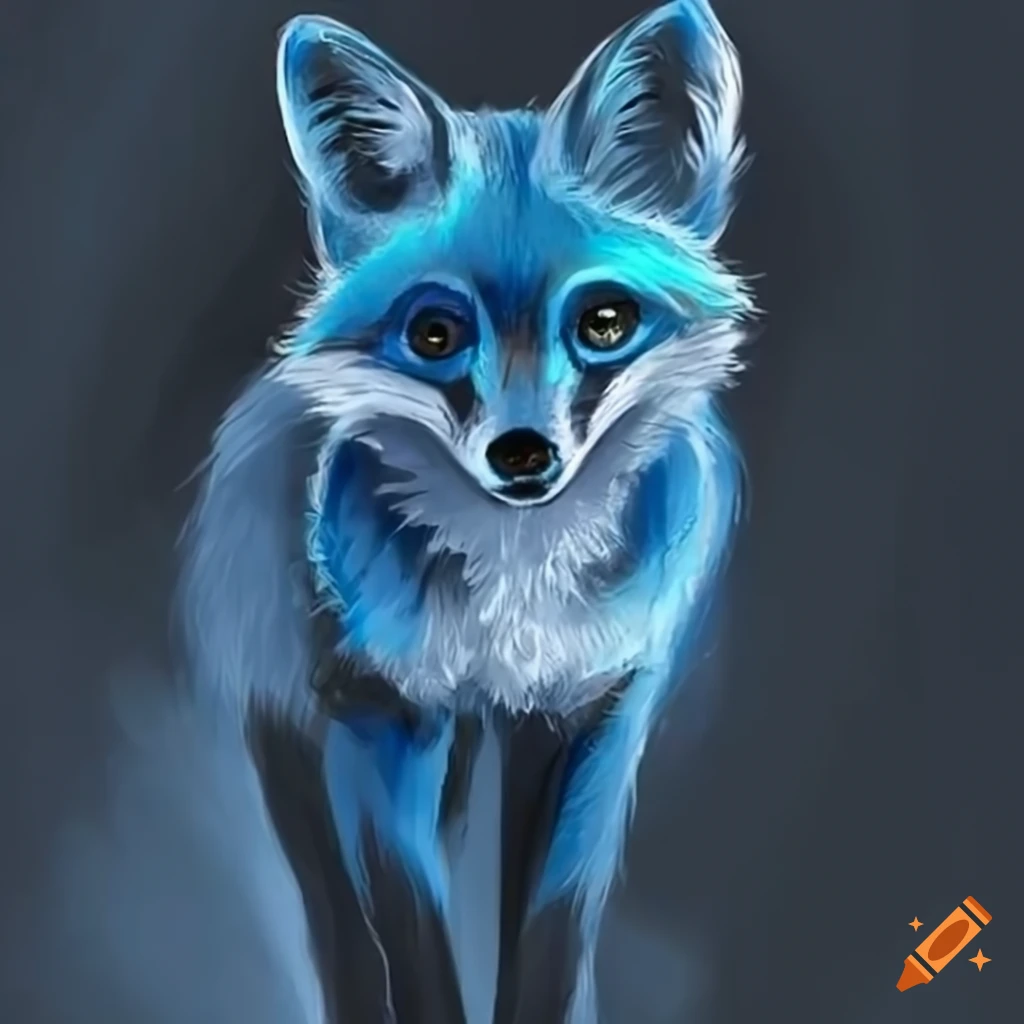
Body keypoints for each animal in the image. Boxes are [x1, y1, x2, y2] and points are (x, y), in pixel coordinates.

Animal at [179, 2, 754, 1022]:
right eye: (435, 334)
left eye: (605, 323)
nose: (522, 455)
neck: (515, 593)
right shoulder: (381, 723)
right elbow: (412, 940)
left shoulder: (594, 718)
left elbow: (550, 937)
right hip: (293, 734)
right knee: (335, 916)